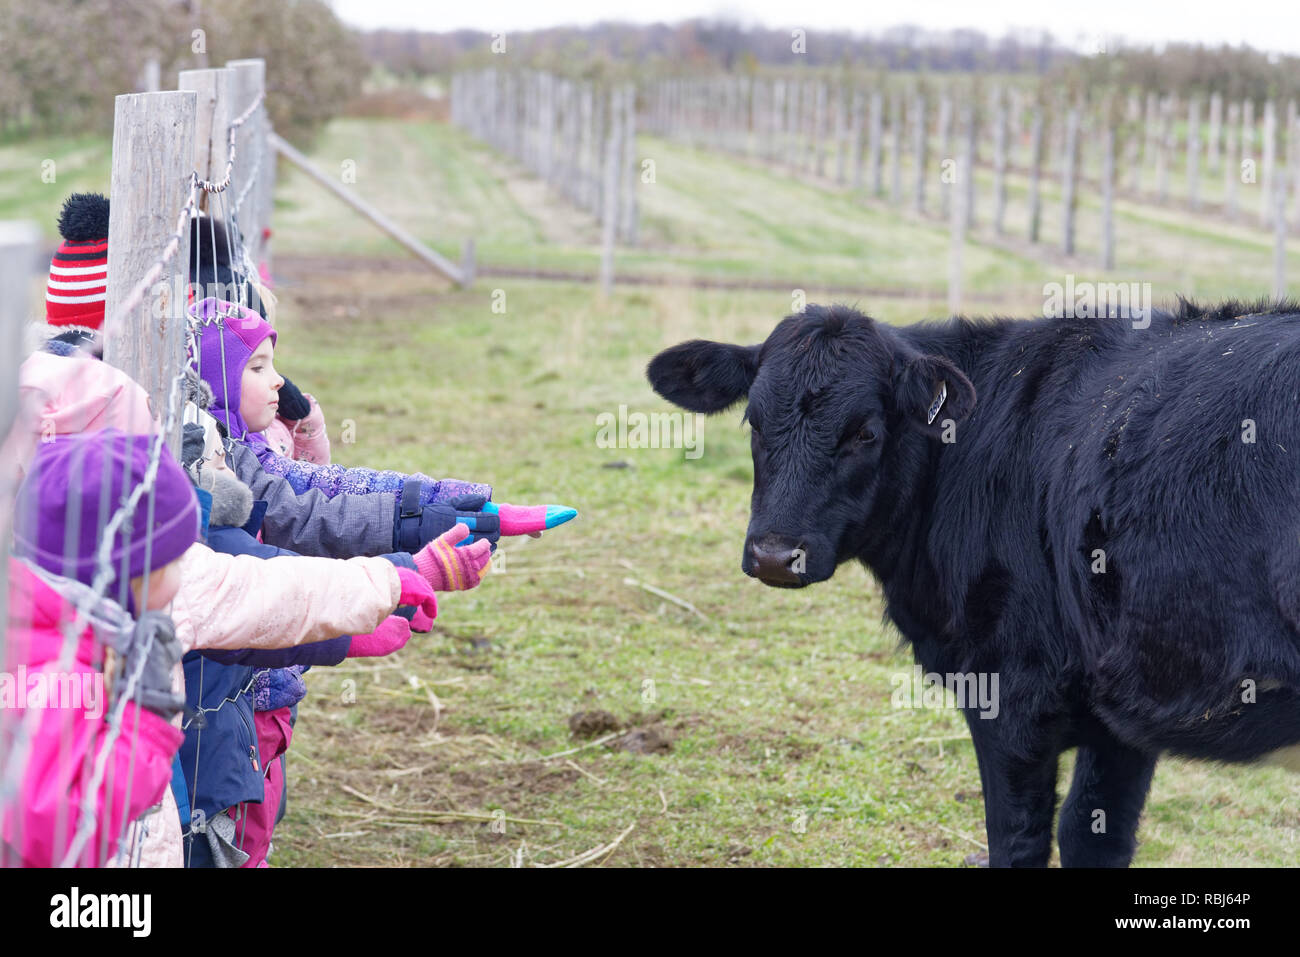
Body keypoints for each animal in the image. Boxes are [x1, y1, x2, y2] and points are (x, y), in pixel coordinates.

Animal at [647, 299, 1300, 867]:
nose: (775, 555)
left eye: (865, 433)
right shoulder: (1123, 706)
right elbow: (1093, 836)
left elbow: (1018, 843)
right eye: (753, 423)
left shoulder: (1011, 691)